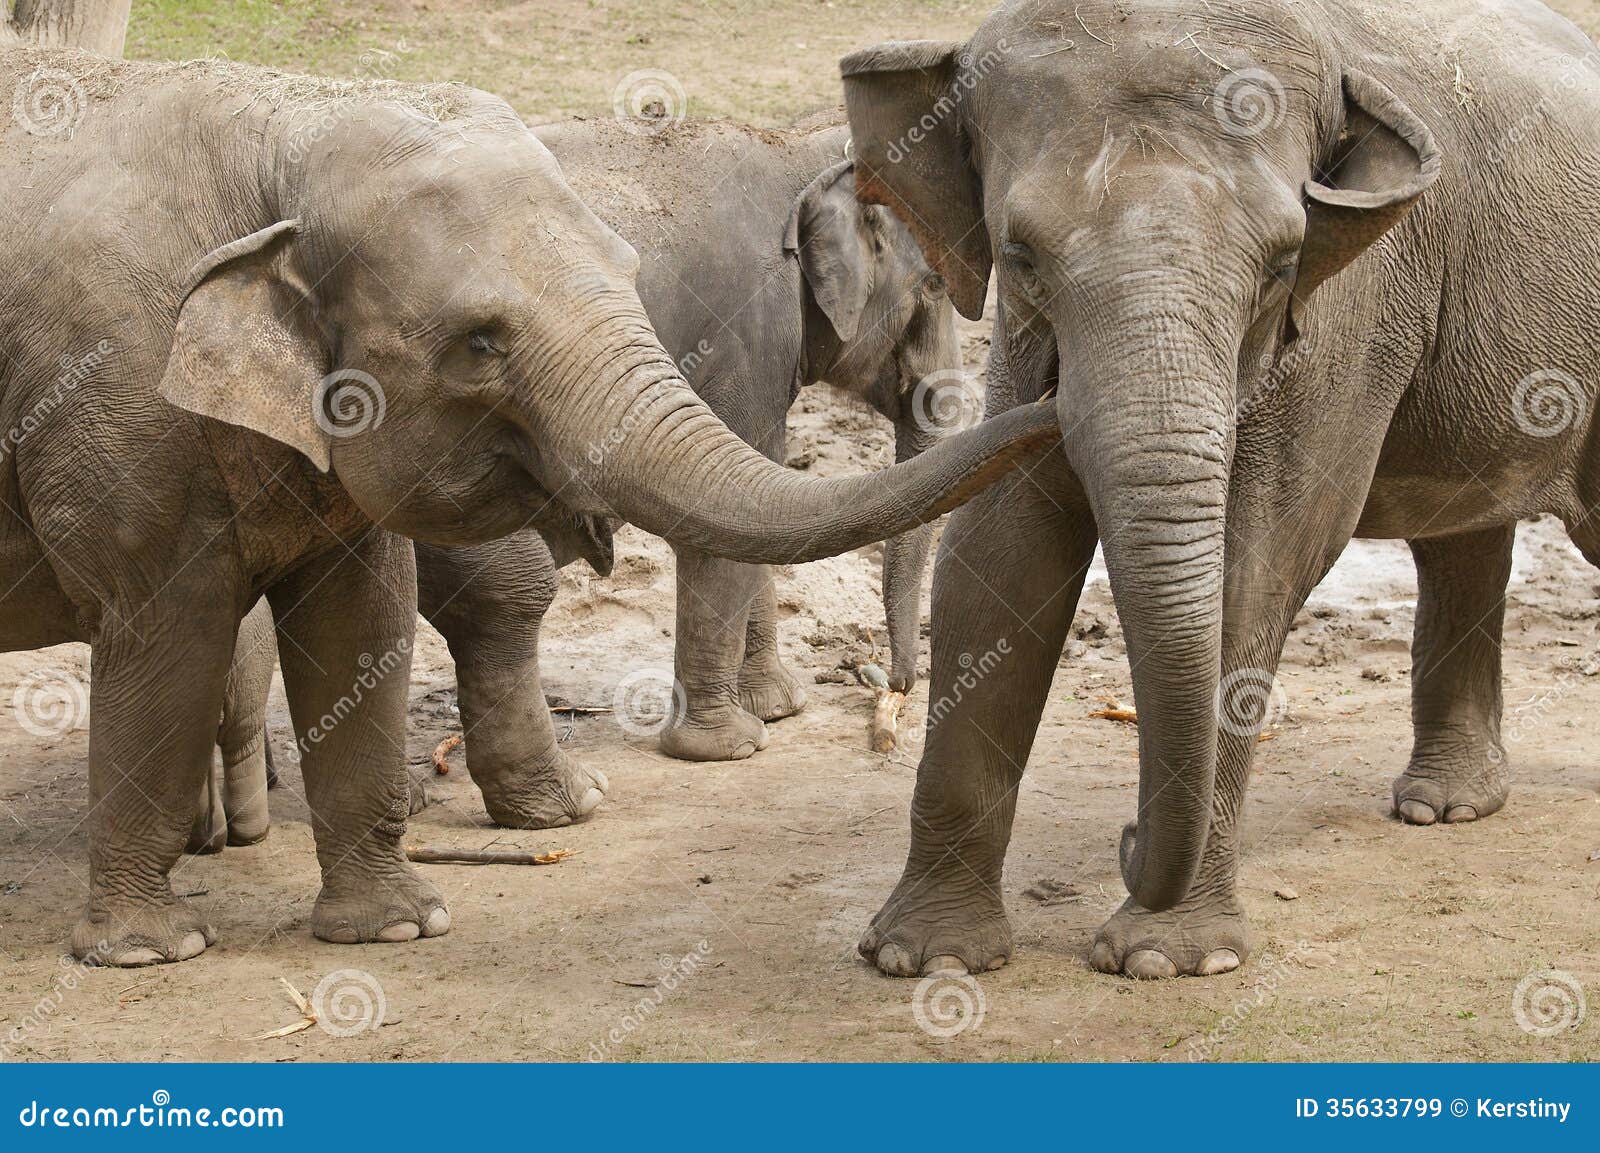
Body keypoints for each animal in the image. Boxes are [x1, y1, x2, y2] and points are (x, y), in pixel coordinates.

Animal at [0, 45, 1062, 965]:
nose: (894, 695)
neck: (288, 136)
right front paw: (153, 949)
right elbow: (168, 621)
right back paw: (558, 802)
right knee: (502, 593)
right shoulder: (121, 395)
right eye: (479, 342)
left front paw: (394, 930)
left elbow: (360, 617)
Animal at [839, 0, 1600, 979]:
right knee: (1461, 539)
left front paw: (1165, 960)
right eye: (1022, 254)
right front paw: (923, 956)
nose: (1129, 840)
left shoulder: (1352, 307)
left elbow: (1265, 554)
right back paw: (1446, 805)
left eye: (1281, 263)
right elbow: (999, 551)